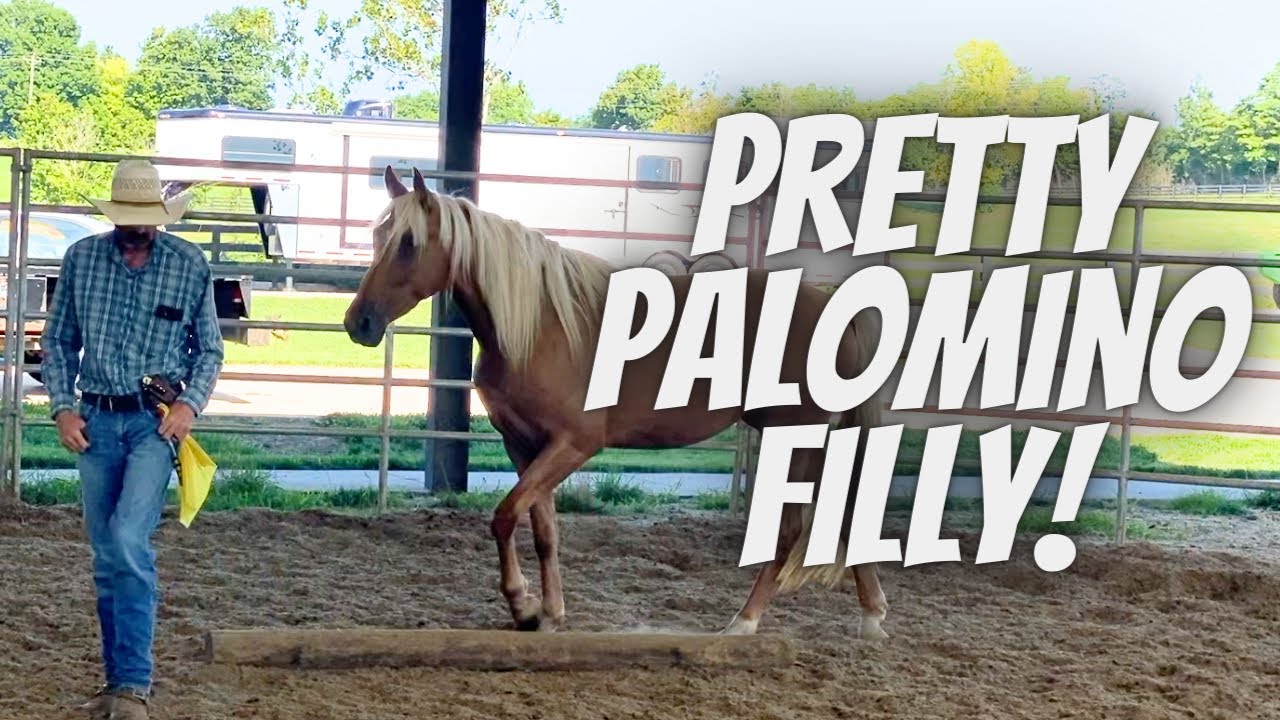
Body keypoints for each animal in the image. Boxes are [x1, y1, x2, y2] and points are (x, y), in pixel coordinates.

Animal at [343, 165, 891, 639]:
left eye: (409, 243)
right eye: (377, 237)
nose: (359, 323)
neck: (540, 326)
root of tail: (830, 303)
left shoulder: (572, 444)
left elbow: (504, 515)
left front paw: (522, 605)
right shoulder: (524, 446)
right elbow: (542, 528)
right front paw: (550, 614)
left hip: (795, 436)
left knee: (791, 527)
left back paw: (745, 622)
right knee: (846, 508)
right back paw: (870, 615)